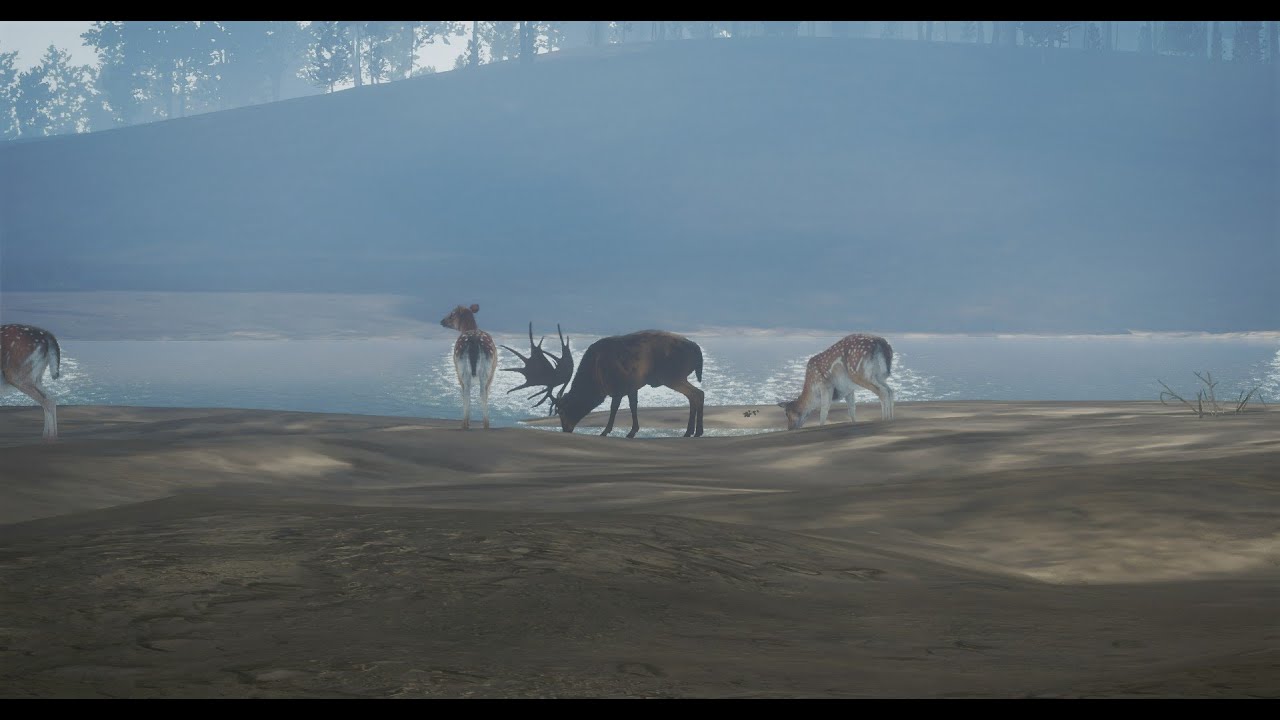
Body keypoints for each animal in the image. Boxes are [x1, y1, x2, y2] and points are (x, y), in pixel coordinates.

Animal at [550, 330, 705, 438]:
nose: (566, 429)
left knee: (697, 394)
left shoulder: (617, 386)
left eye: (562, 411)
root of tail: (697, 350)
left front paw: (606, 431)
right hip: (677, 377)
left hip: (672, 376)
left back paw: (693, 431)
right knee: (696, 395)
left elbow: (614, 408)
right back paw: (693, 431)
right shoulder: (631, 386)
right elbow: (633, 406)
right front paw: (632, 431)